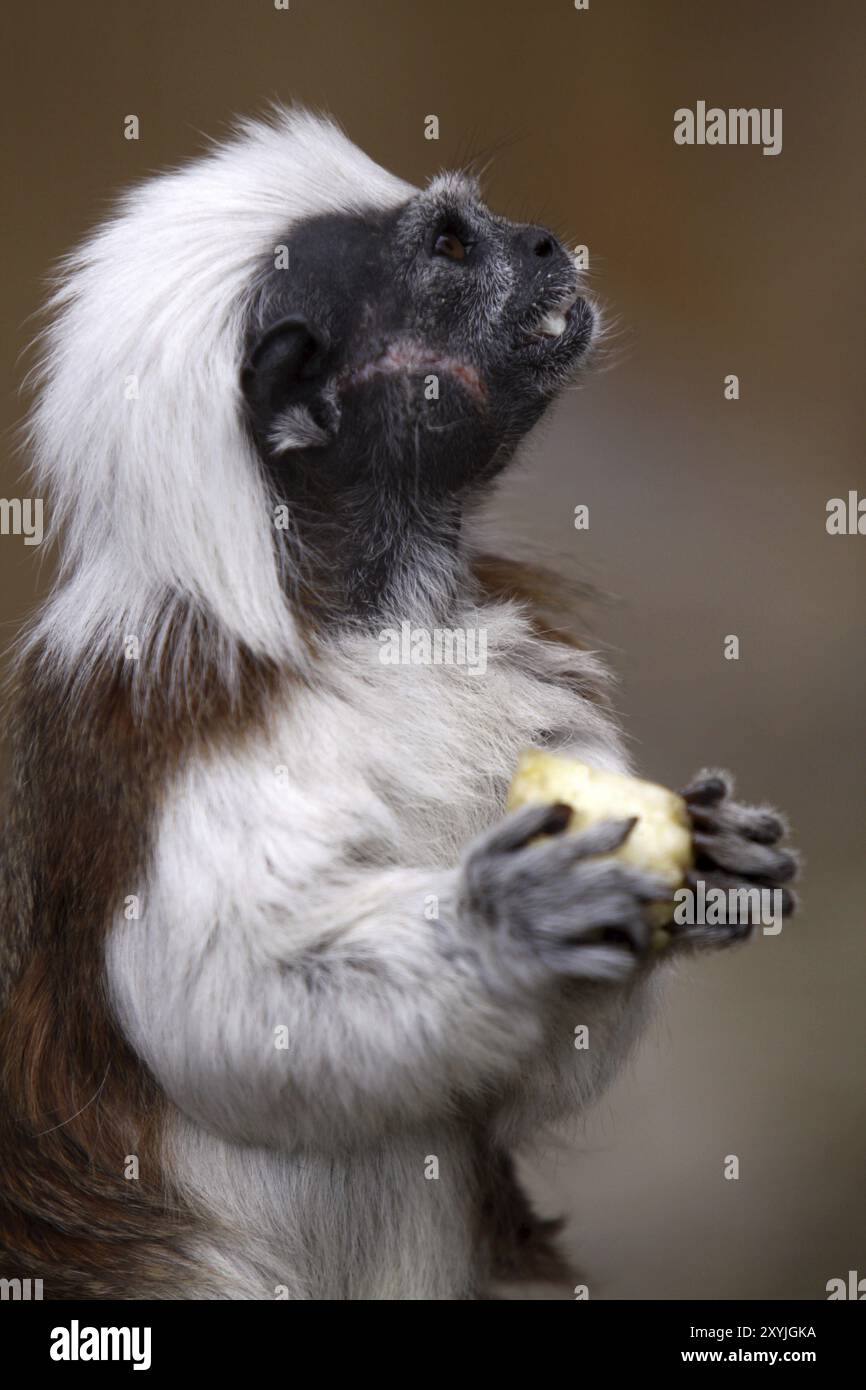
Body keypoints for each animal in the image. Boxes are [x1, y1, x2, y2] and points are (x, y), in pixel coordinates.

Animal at [0, 108, 797, 1300]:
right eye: (454, 251)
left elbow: (529, 1080)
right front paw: (501, 928)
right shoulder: (173, 729)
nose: (547, 242)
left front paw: (713, 867)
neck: (369, 618)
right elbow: (225, 1003)